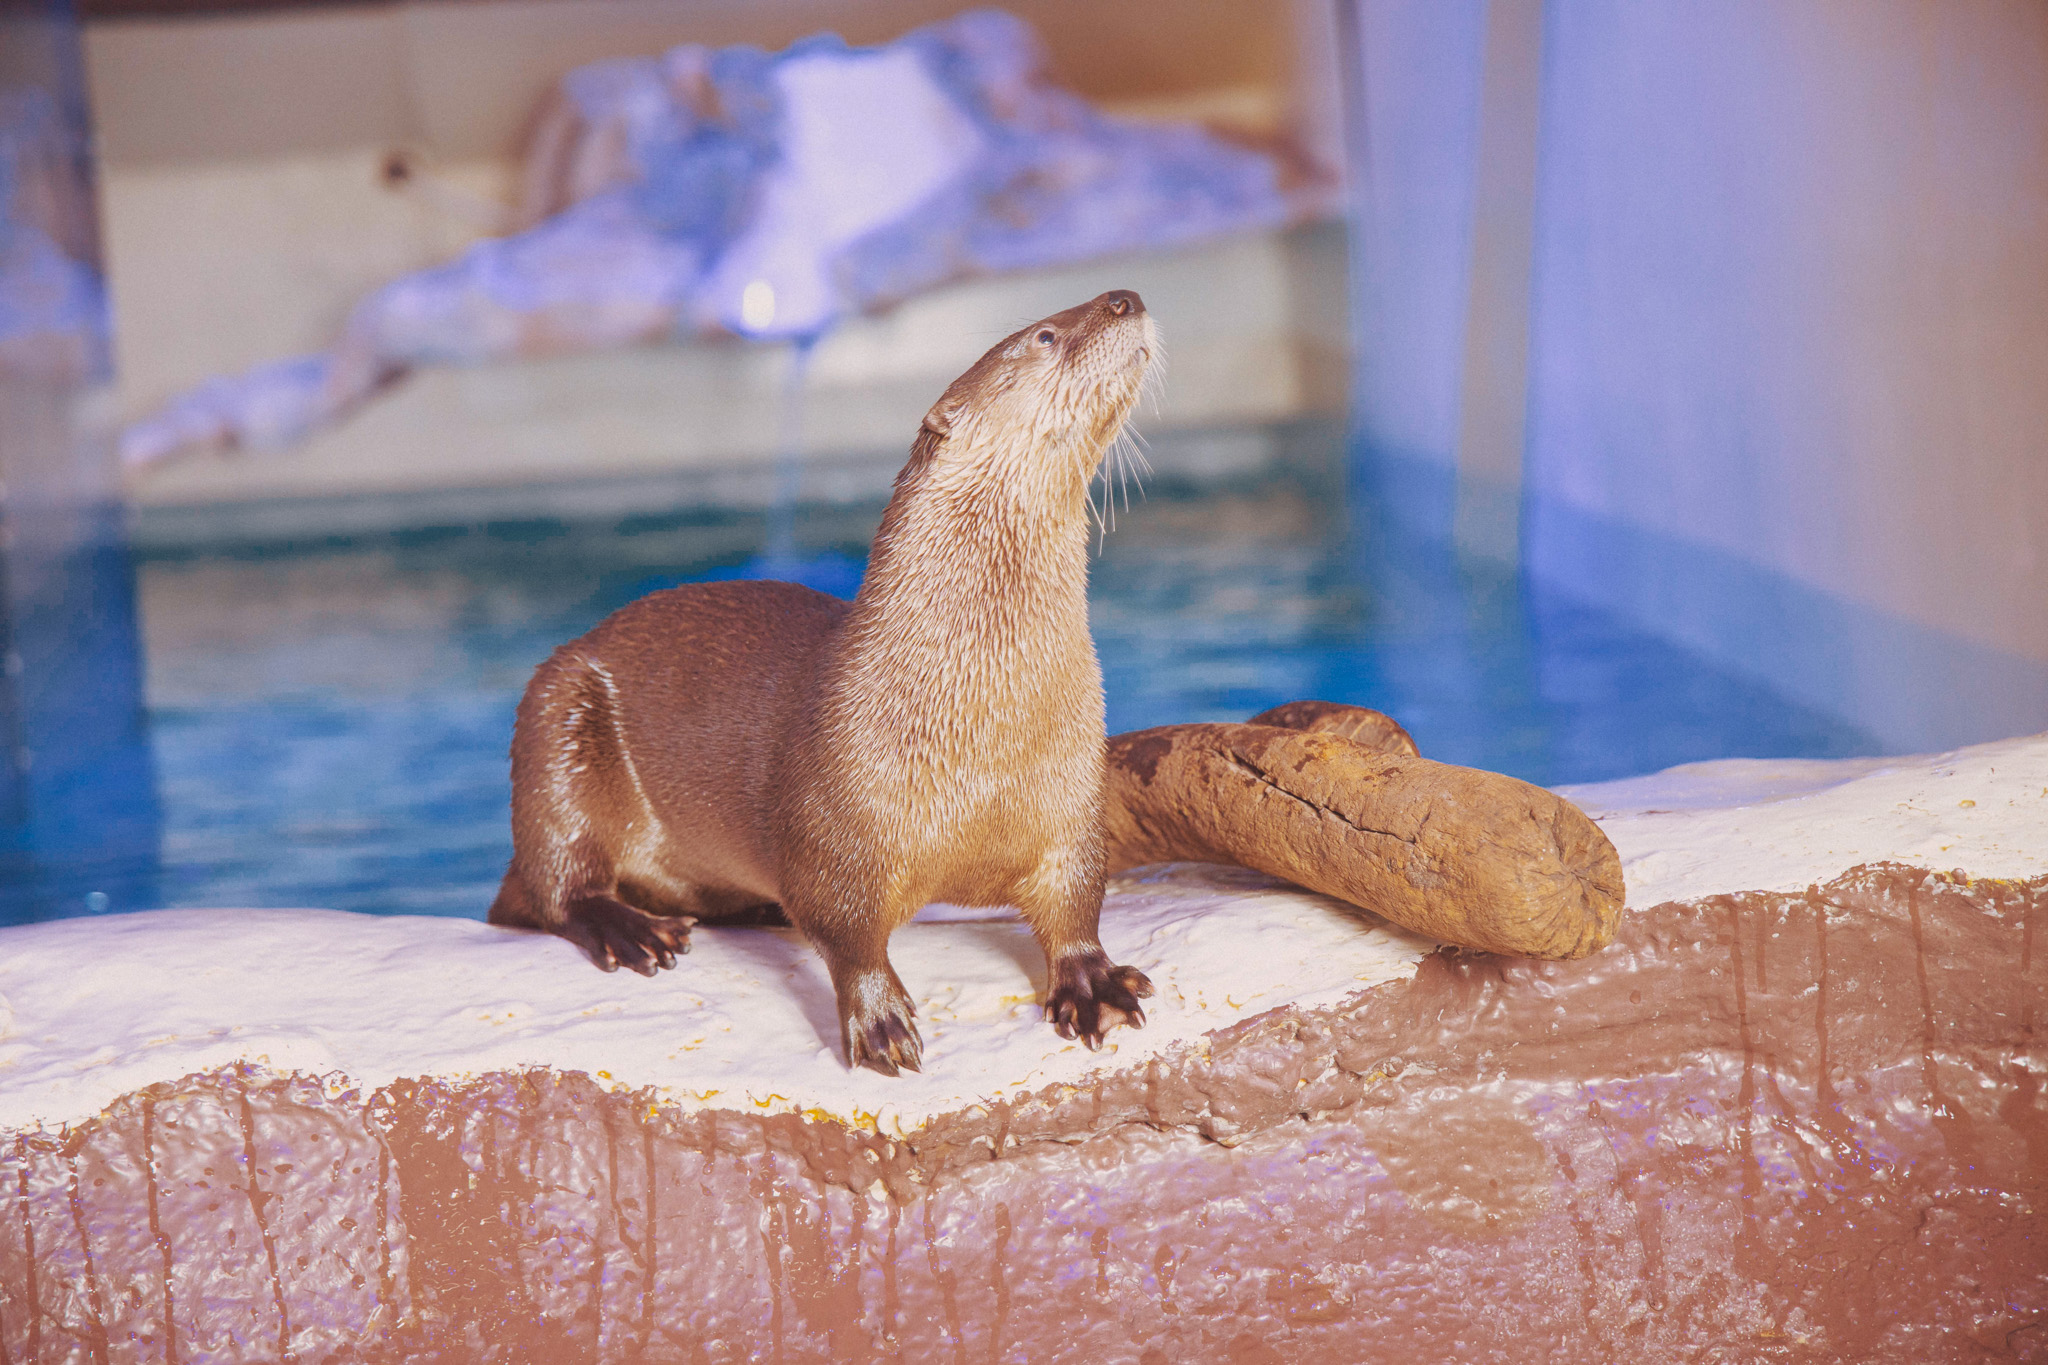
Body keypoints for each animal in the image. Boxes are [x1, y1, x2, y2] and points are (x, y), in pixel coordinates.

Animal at [490, 291, 1158, 1074]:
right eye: (1045, 336)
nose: (1124, 297)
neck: (977, 726)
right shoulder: (835, 828)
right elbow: (843, 930)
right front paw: (879, 1019)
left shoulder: (1070, 801)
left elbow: (1077, 898)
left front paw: (1092, 981)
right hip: (554, 715)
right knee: (555, 880)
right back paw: (633, 929)